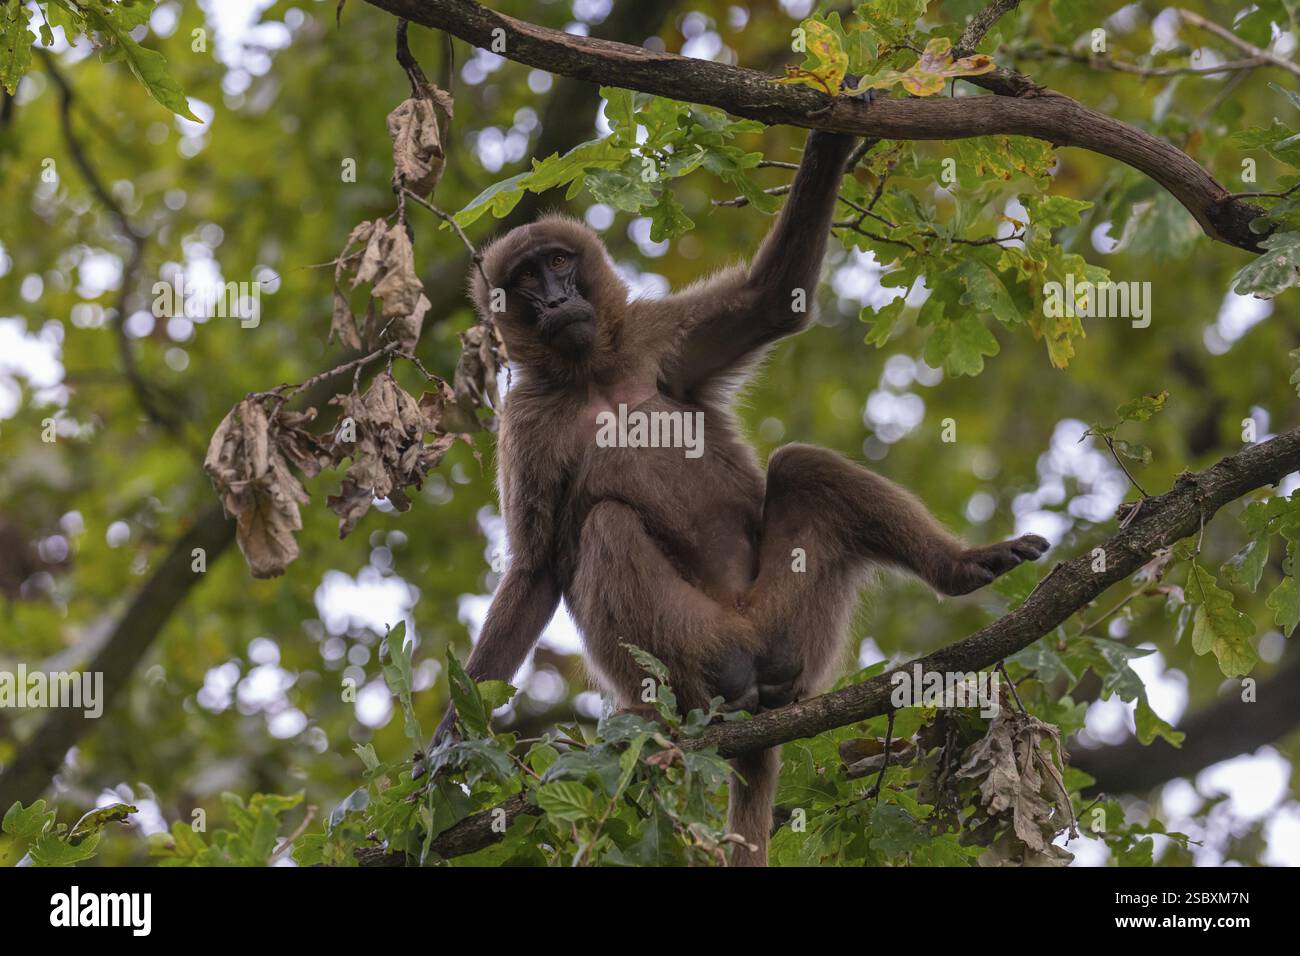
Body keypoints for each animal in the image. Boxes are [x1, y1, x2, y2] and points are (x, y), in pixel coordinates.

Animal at [435, 124, 1049, 866]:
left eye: (558, 263)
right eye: (526, 279)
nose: (555, 300)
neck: (592, 379)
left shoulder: (650, 340)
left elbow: (771, 297)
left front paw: (833, 133)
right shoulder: (525, 421)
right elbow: (535, 569)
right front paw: (452, 742)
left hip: (793, 619)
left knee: (801, 469)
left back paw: (956, 568)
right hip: (689, 648)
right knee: (605, 529)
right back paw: (694, 701)